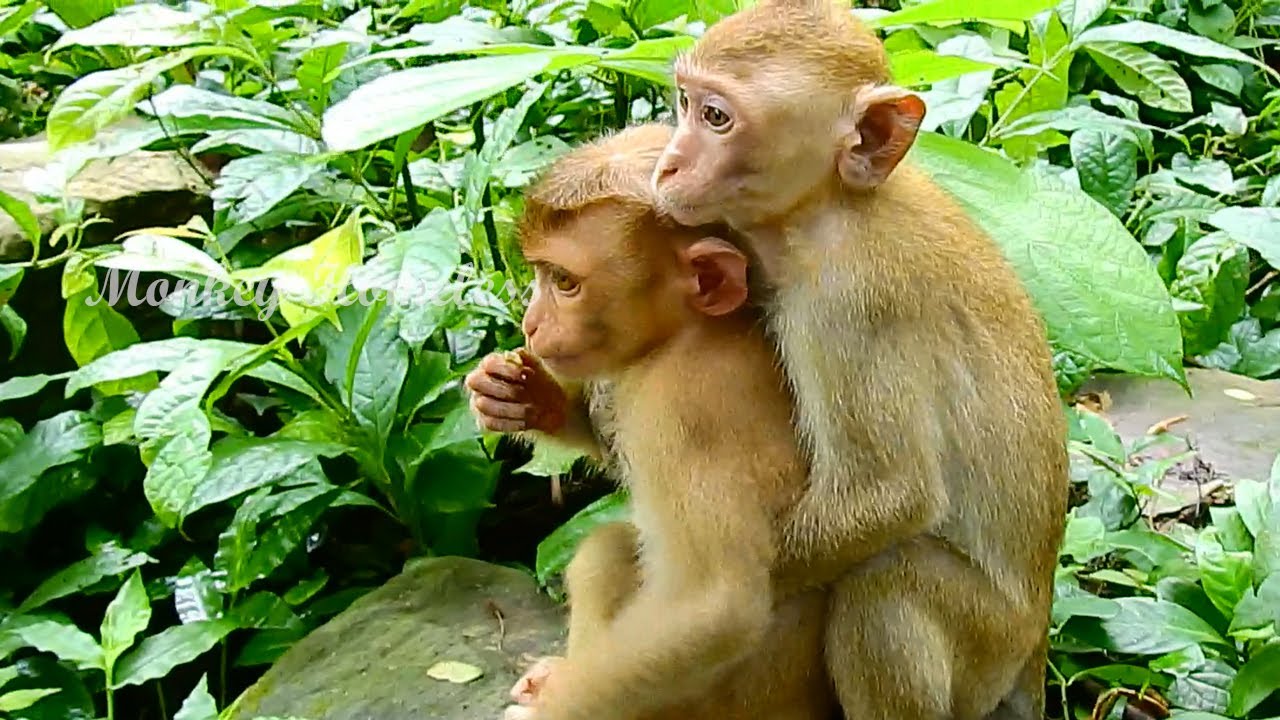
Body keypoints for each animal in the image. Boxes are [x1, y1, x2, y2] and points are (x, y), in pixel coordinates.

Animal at [465, 123, 837, 720]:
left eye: (563, 282)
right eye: (541, 275)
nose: (531, 322)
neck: (688, 336)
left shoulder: (679, 413)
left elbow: (713, 607)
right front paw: (524, 398)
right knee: (607, 552)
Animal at [647, 1, 1071, 718]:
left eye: (716, 117)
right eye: (684, 102)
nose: (670, 164)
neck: (830, 209)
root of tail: (1035, 645)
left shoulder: (851, 310)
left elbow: (890, 496)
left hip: (988, 649)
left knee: (884, 583)